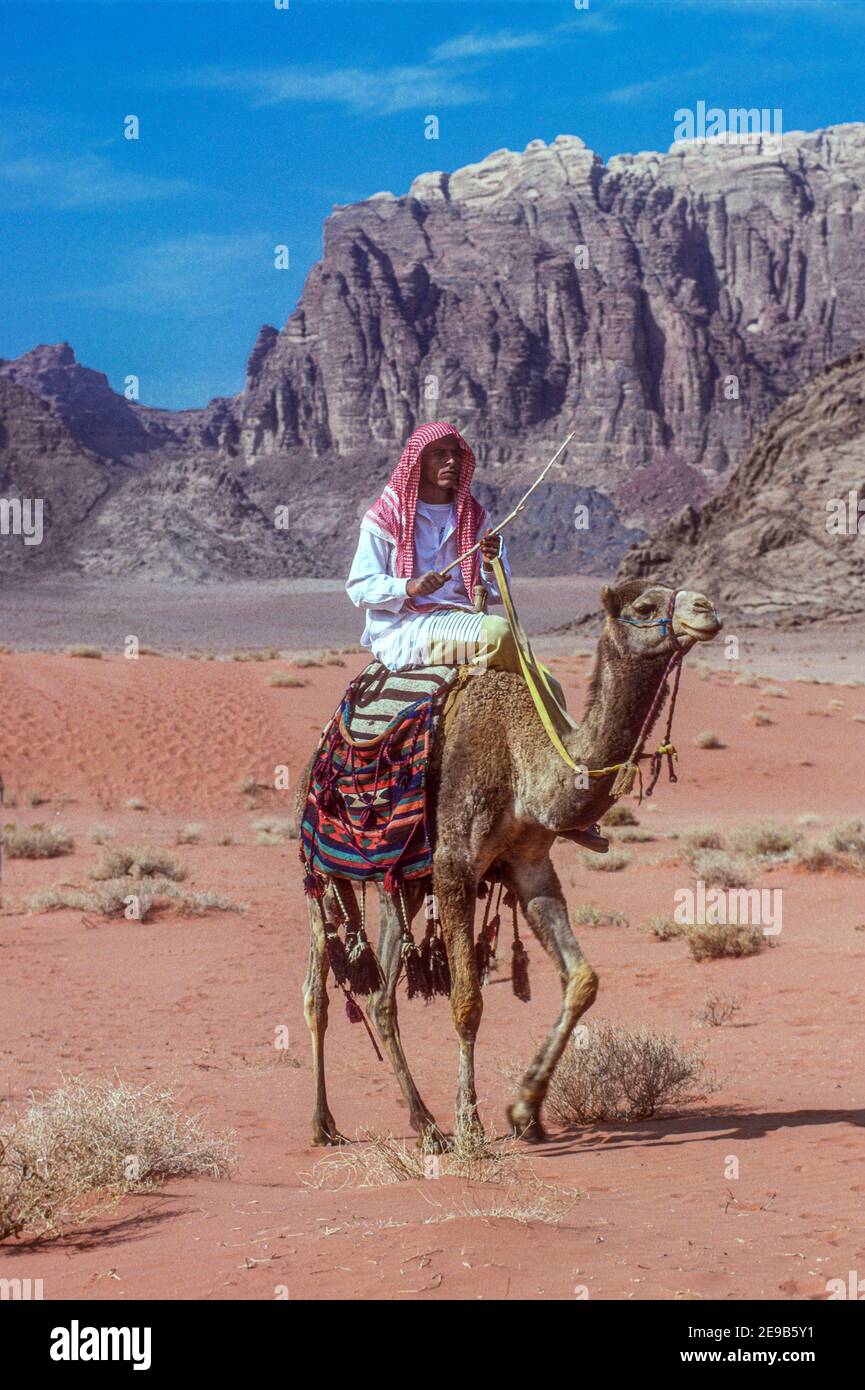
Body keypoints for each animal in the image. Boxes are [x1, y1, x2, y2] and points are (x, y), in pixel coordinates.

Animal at [297, 579, 721, 1149]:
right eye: (645, 606)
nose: (706, 609)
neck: (525, 766)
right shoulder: (454, 866)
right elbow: (467, 1002)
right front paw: (471, 1126)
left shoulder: (529, 866)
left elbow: (582, 980)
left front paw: (525, 1111)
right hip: (323, 873)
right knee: (317, 993)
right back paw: (326, 1124)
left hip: (400, 882)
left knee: (382, 999)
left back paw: (424, 1125)